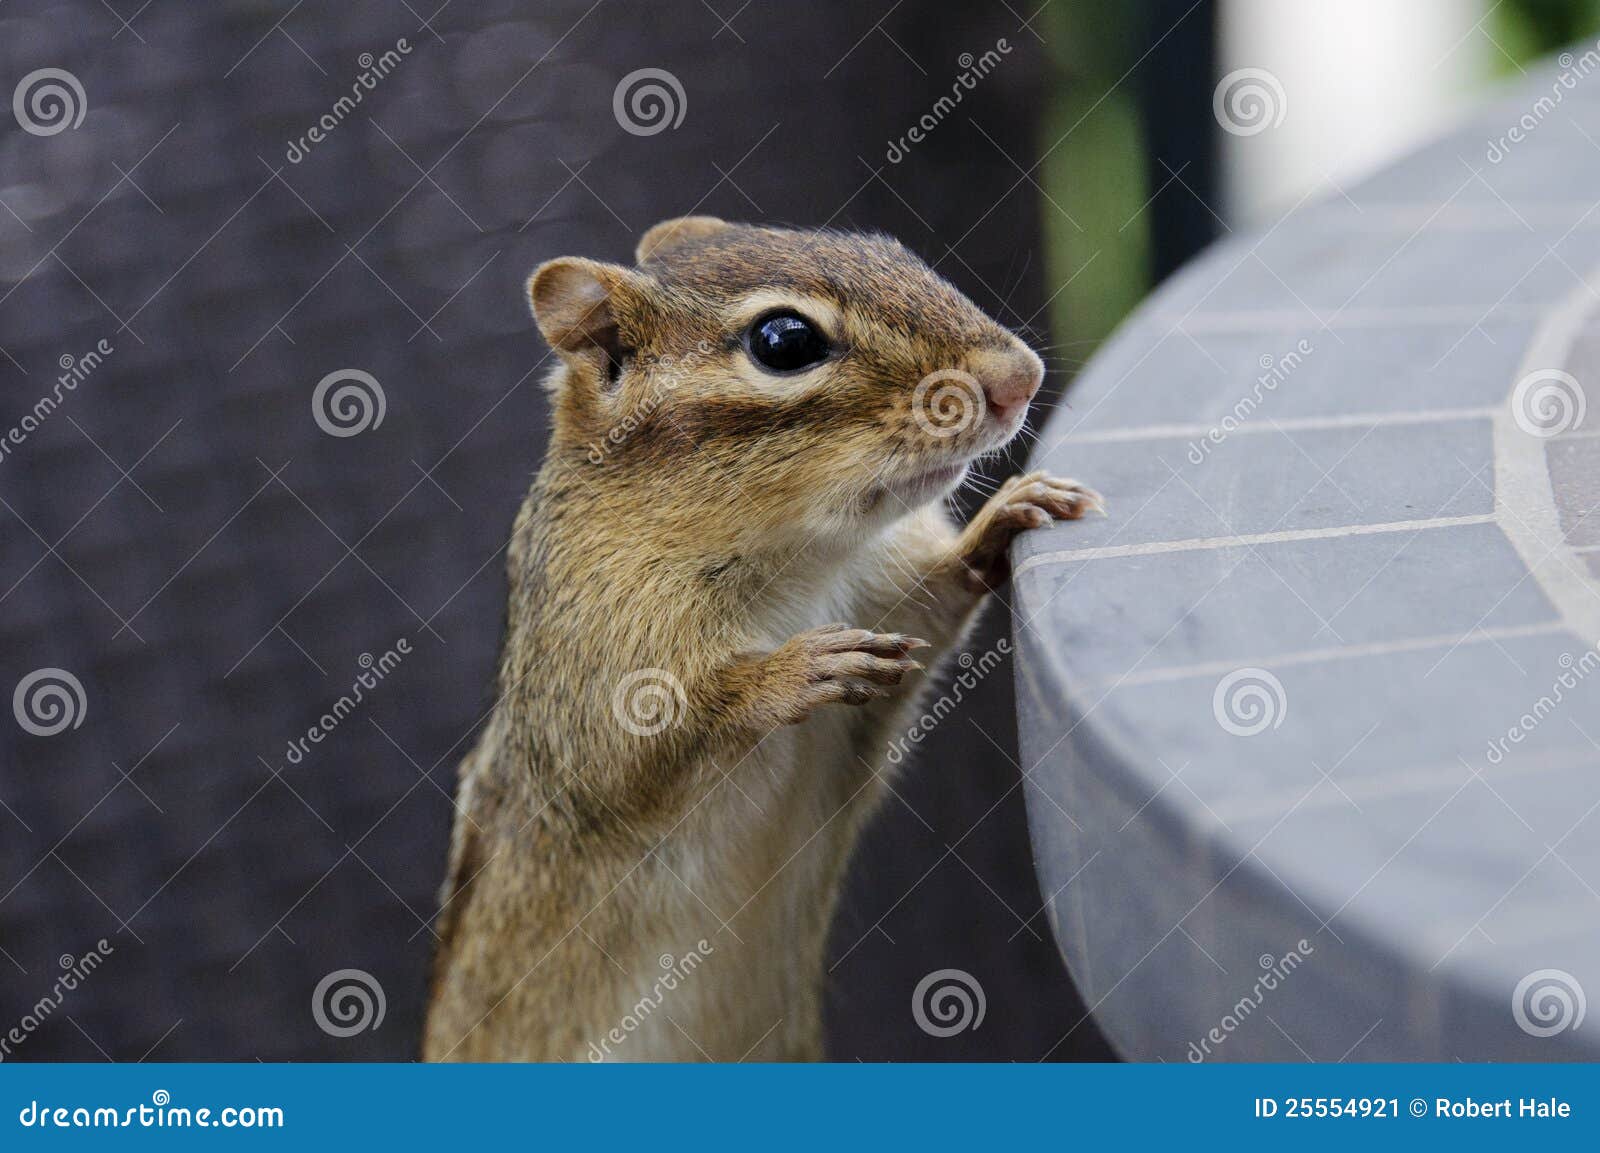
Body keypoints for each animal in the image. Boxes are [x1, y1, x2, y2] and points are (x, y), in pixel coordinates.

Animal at [420, 216, 1101, 1061]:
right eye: (783, 341)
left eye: (895, 250)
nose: (1022, 377)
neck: (804, 566)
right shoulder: (595, 659)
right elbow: (635, 746)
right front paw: (792, 670)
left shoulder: (885, 586)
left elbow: (936, 595)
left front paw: (1003, 518)